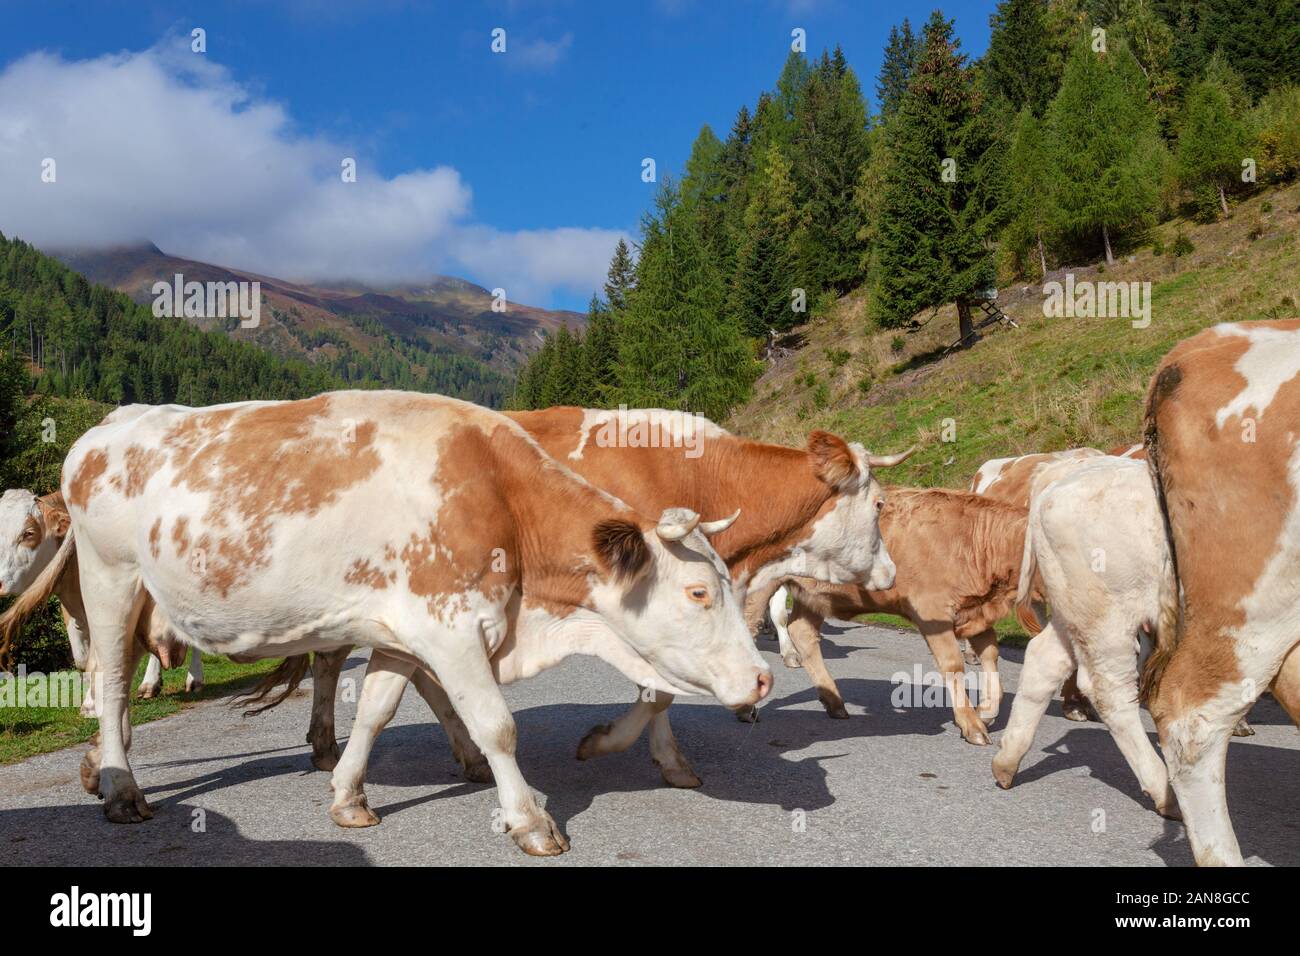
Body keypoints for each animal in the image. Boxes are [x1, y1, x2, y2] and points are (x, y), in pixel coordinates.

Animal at [60, 392, 772, 856]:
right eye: (699, 591)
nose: (764, 679)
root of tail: (111, 425)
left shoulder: (403, 629)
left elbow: (376, 710)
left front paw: (348, 796)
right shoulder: (450, 626)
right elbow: (497, 725)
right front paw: (528, 821)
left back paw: (96, 769)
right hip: (110, 578)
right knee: (113, 682)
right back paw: (120, 789)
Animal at [265, 407, 911, 787]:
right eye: (881, 504)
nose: (890, 571)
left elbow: (662, 691)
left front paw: (668, 759)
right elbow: (658, 693)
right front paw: (610, 745)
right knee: (333, 660)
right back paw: (328, 747)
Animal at [753, 487, 1036, 744]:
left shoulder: (975, 612)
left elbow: (990, 655)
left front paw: (986, 711)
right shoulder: (932, 611)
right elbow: (952, 664)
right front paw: (971, 725)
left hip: (813, 595)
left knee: (802, 631)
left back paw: (834, 701)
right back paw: (750, 709)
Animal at [991, 455, 1180, 819]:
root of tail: (1059, 475)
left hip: (1074, 612)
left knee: (1043, 660)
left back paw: (1007, 762)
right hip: (1109, 616)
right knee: (1110, 691)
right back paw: (1165, 792)